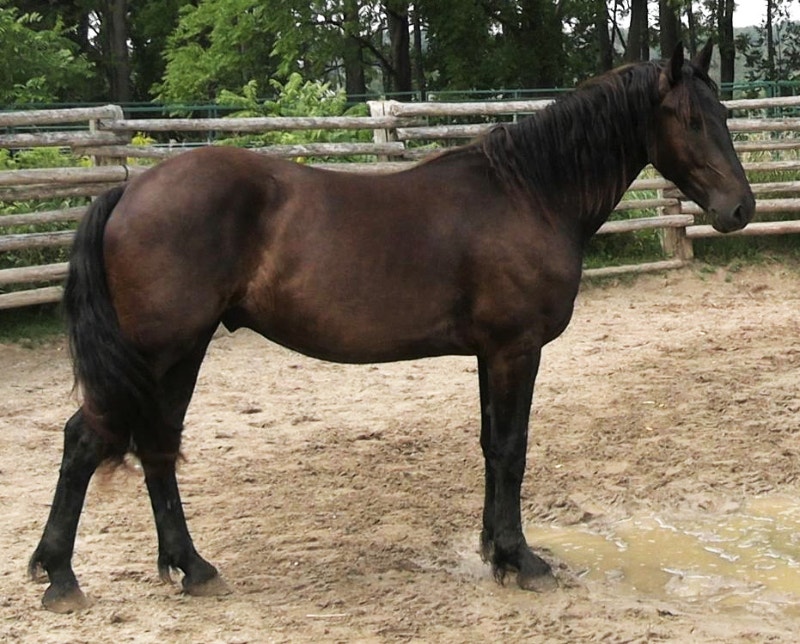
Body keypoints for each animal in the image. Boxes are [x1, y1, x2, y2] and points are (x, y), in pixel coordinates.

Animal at [29, 42, 754, 612]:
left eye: (724, 115)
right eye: (691, 119)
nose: (739, 208)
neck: (530, 193)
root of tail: (128, 189)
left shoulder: (489, 354)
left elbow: (490, 447)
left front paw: (493, 551)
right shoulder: (515, 350)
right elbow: (512, 450)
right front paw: (520, 559)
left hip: (180, 353)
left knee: (155, 445)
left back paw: (192, 568)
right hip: (159, 350)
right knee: (87, 441)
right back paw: (61, 576)